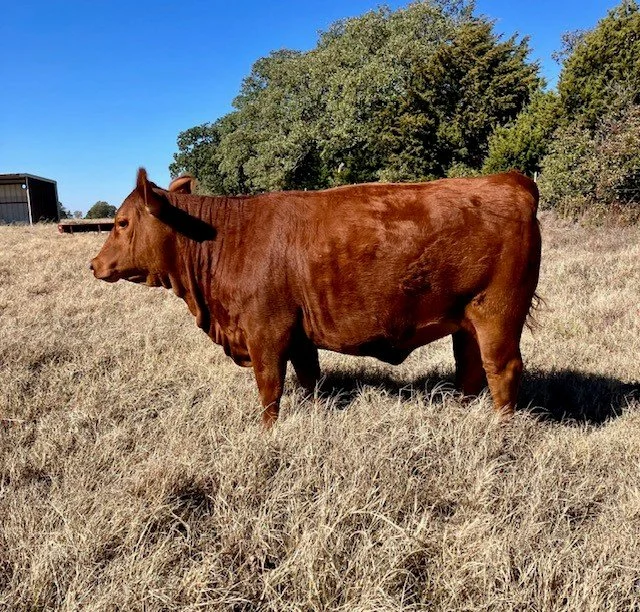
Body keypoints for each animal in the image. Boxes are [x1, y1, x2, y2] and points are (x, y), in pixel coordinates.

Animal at [90, 169, 541, 428]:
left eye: (122, 222)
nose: (94, 264)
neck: (227, 238)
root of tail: (508, 180)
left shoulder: (266, 333)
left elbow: (270, 389)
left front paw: (267, 434)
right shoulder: (299, 336)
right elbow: (309, 380)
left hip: (498, 315)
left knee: (502, 370)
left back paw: (500, 432)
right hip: (466, 320)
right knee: (469, 370)